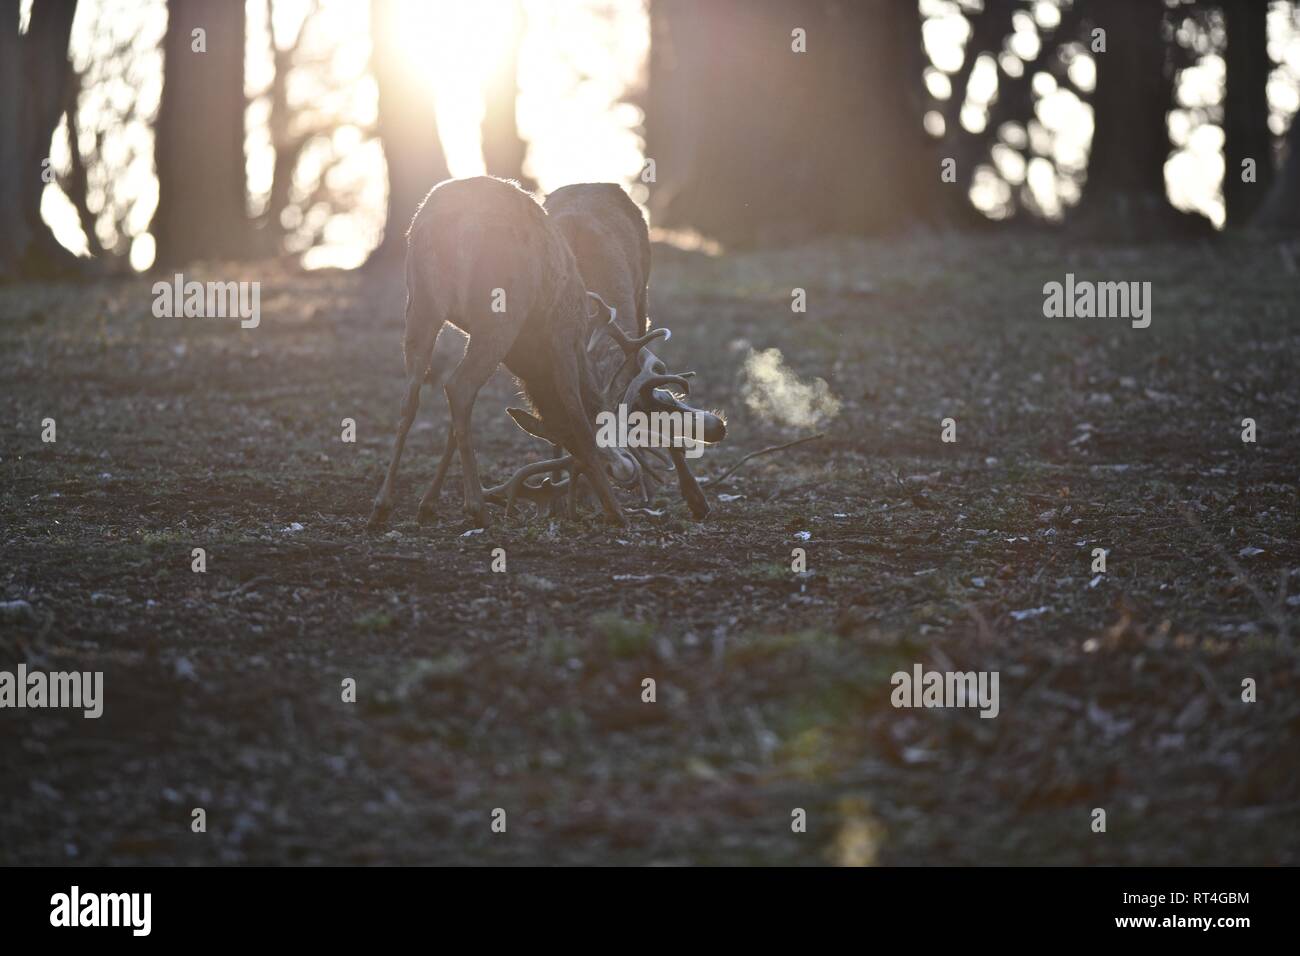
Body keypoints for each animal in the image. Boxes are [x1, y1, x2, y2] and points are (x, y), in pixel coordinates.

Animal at [365, 176, 641, 531]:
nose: (627, 470)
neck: (532, 355)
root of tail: (453, 225)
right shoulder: (564, 333)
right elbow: (577, 412)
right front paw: (615, 510)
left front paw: (427, 504)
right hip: (499, 310)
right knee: (459, 386)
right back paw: (477, 508)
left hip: (420, 303)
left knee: (412, 395)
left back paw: (381, 506)